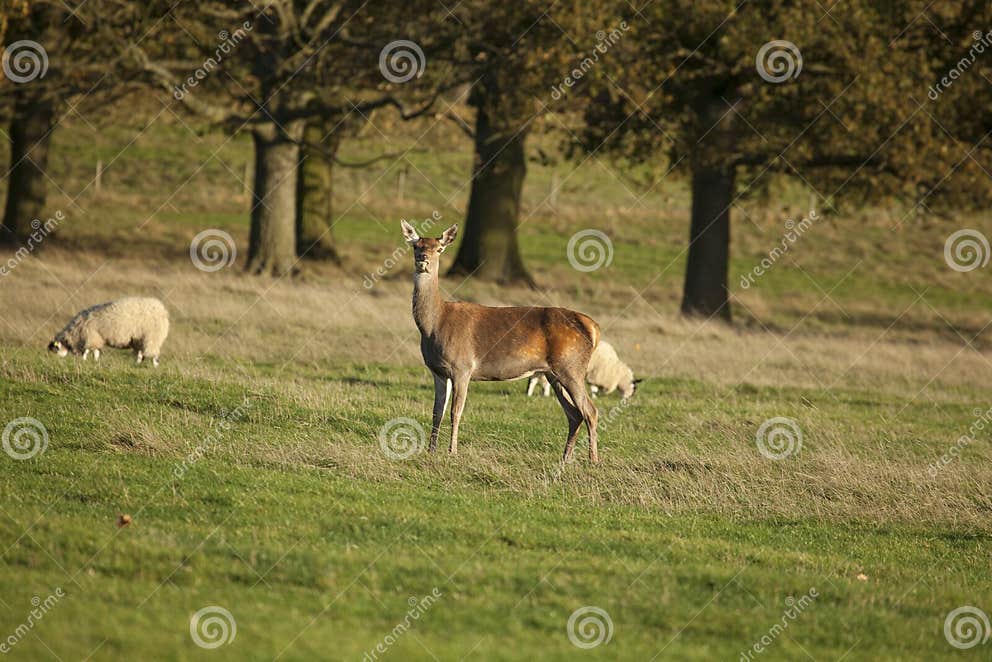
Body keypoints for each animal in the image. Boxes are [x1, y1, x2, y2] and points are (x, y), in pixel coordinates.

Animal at [401, 220, 602, 462]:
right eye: (416, 246)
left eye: (439, 249)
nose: (423, 259)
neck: (434, 325)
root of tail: (593, 327)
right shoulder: (438, 371)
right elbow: (436, 412)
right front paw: (431, 451)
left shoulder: (462, 367)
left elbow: (455, 412)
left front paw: (452, 452)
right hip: (553, 373)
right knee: (574, 414)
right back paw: (565, 459)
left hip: (571, 366)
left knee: (590, 411)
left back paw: (593, 461)